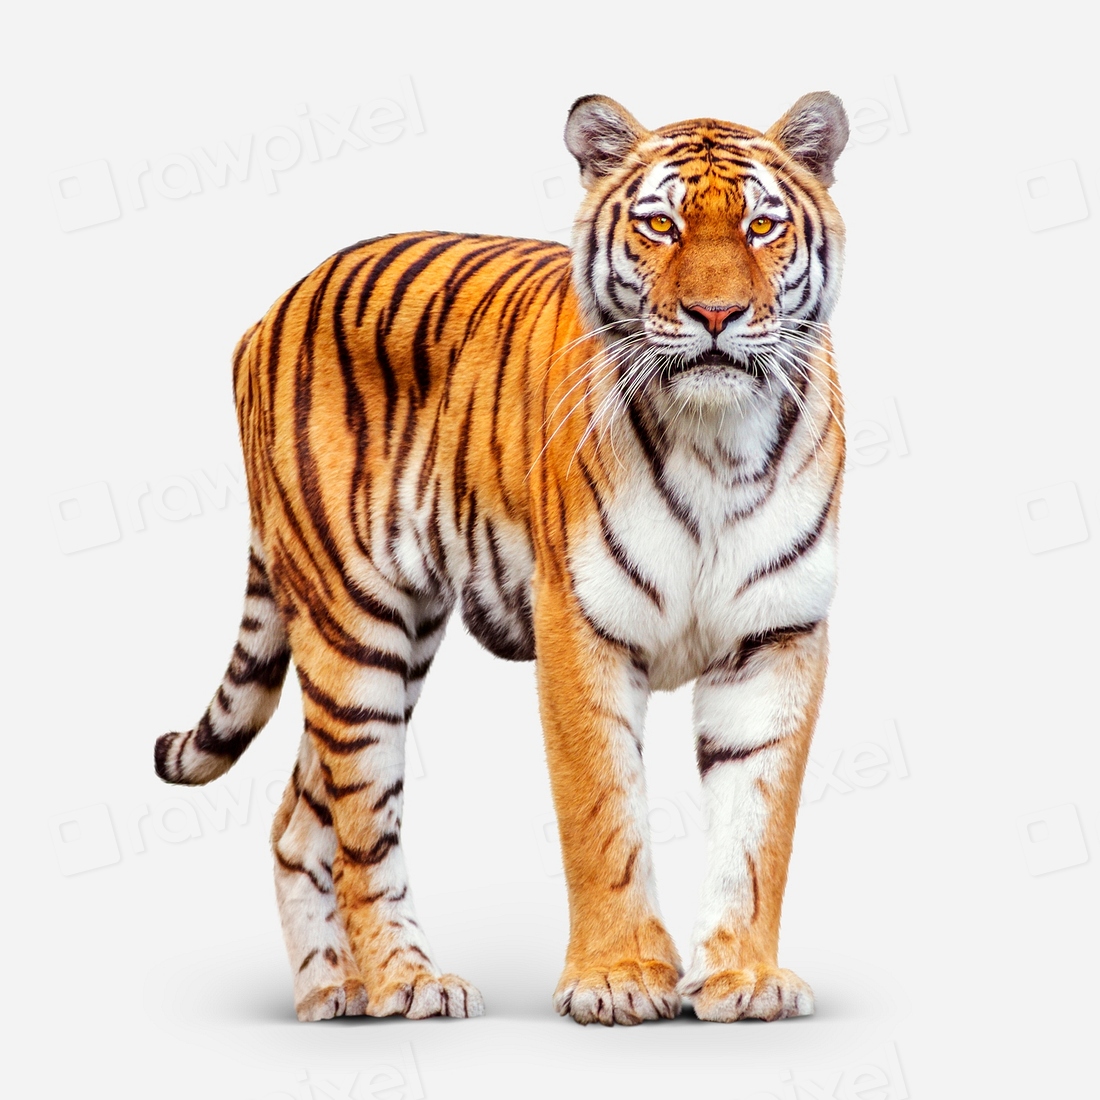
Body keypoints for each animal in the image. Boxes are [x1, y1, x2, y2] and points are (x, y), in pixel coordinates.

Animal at [154, 91, 849, 1026]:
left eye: (762, 226)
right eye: (660, 225)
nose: (715, 316)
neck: (717, 440)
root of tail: (270, 311)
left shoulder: (777, 637)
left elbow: (758, 827)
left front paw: (744, 979)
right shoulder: (580, 628)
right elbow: (603, 814)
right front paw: (619, 979)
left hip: (397, 636)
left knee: (300, 820)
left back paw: (331, 991)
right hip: (354, 632)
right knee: (362, 830)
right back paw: (407, 982)